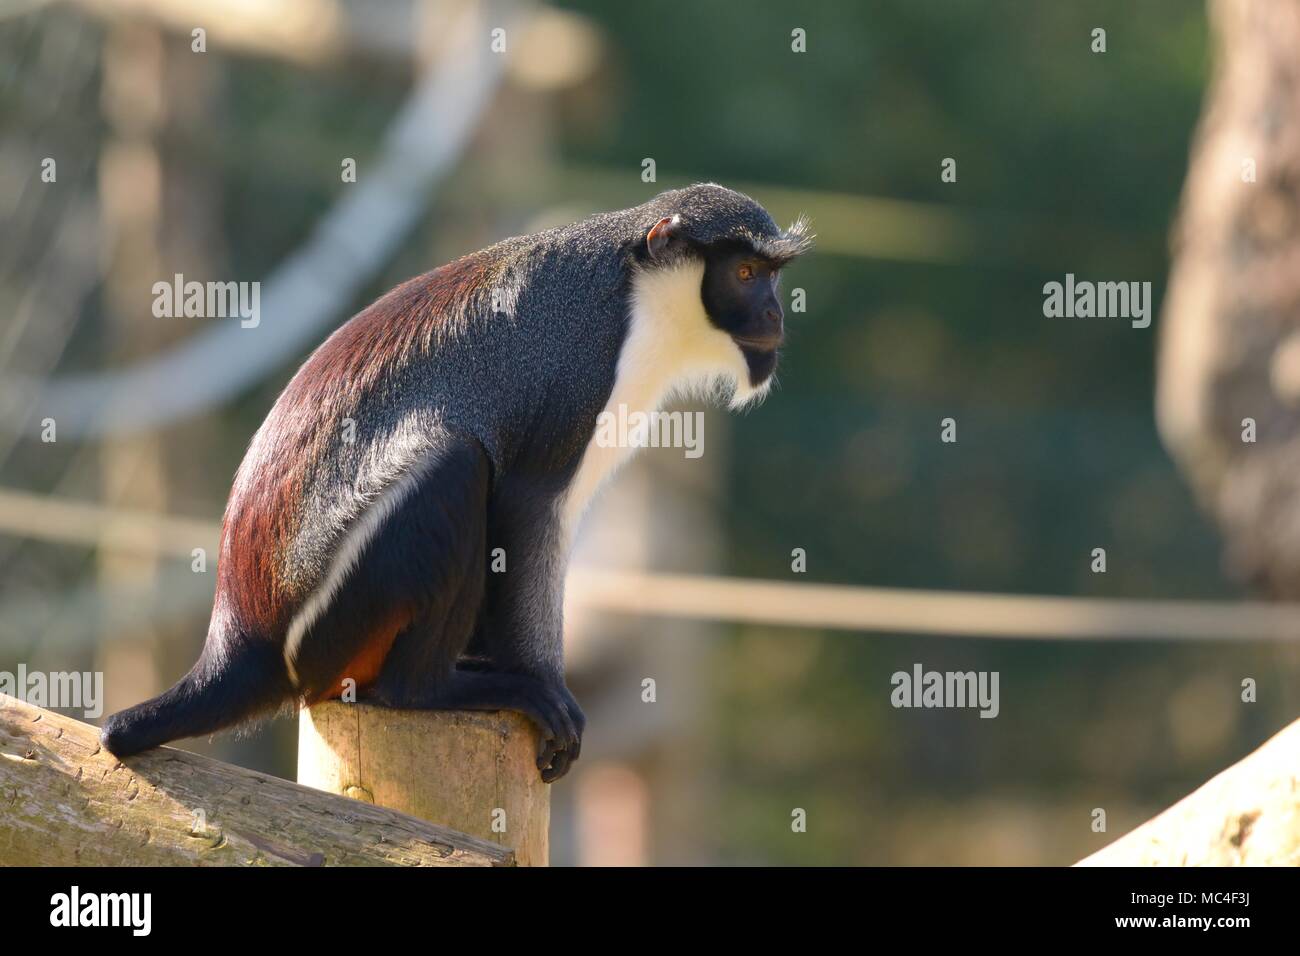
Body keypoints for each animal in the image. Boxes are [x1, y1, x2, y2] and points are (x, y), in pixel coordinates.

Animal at [100, 183, 812, 781]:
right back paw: (432, 689)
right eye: (745, 275)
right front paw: (542, 684)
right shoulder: (581, 374)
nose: (777, 314)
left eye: (771, 276)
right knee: (454, 467)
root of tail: (236, 638)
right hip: (335, 627)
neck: (641, 290)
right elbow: (528, 505)